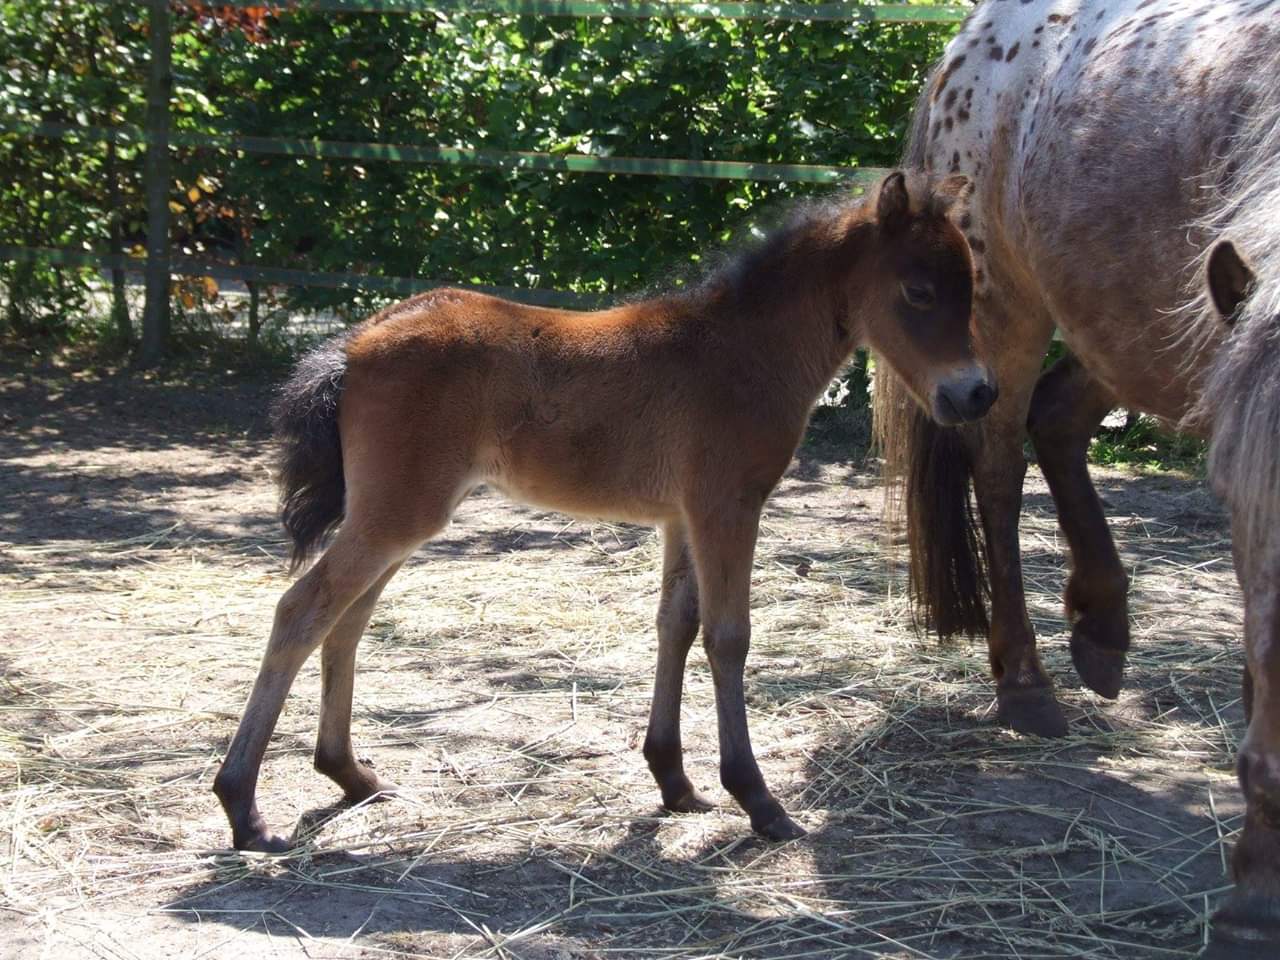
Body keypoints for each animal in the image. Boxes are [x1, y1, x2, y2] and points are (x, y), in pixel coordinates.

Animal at [212, 170, 993, 853]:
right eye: (919, 289)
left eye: (972, 287)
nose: (976, 394)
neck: (742, 352)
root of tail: (356, 340)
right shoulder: (726, 508)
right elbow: (729, 637)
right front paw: (758, 800)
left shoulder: (683, 517)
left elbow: (676, 626)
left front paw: (675, 780)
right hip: (396, 514)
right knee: (302, 610)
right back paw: (243, 807)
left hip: (396, 517)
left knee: (345, 622)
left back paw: (350, 775)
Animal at [871, 1, 1280, 952]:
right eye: (1232, 494)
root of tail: (970, 41)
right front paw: (1257, 887)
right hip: (1003, 311)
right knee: (997, 463)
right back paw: (1026, 682)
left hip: (1130, 327)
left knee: (1056, 418)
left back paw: (1101, 623)